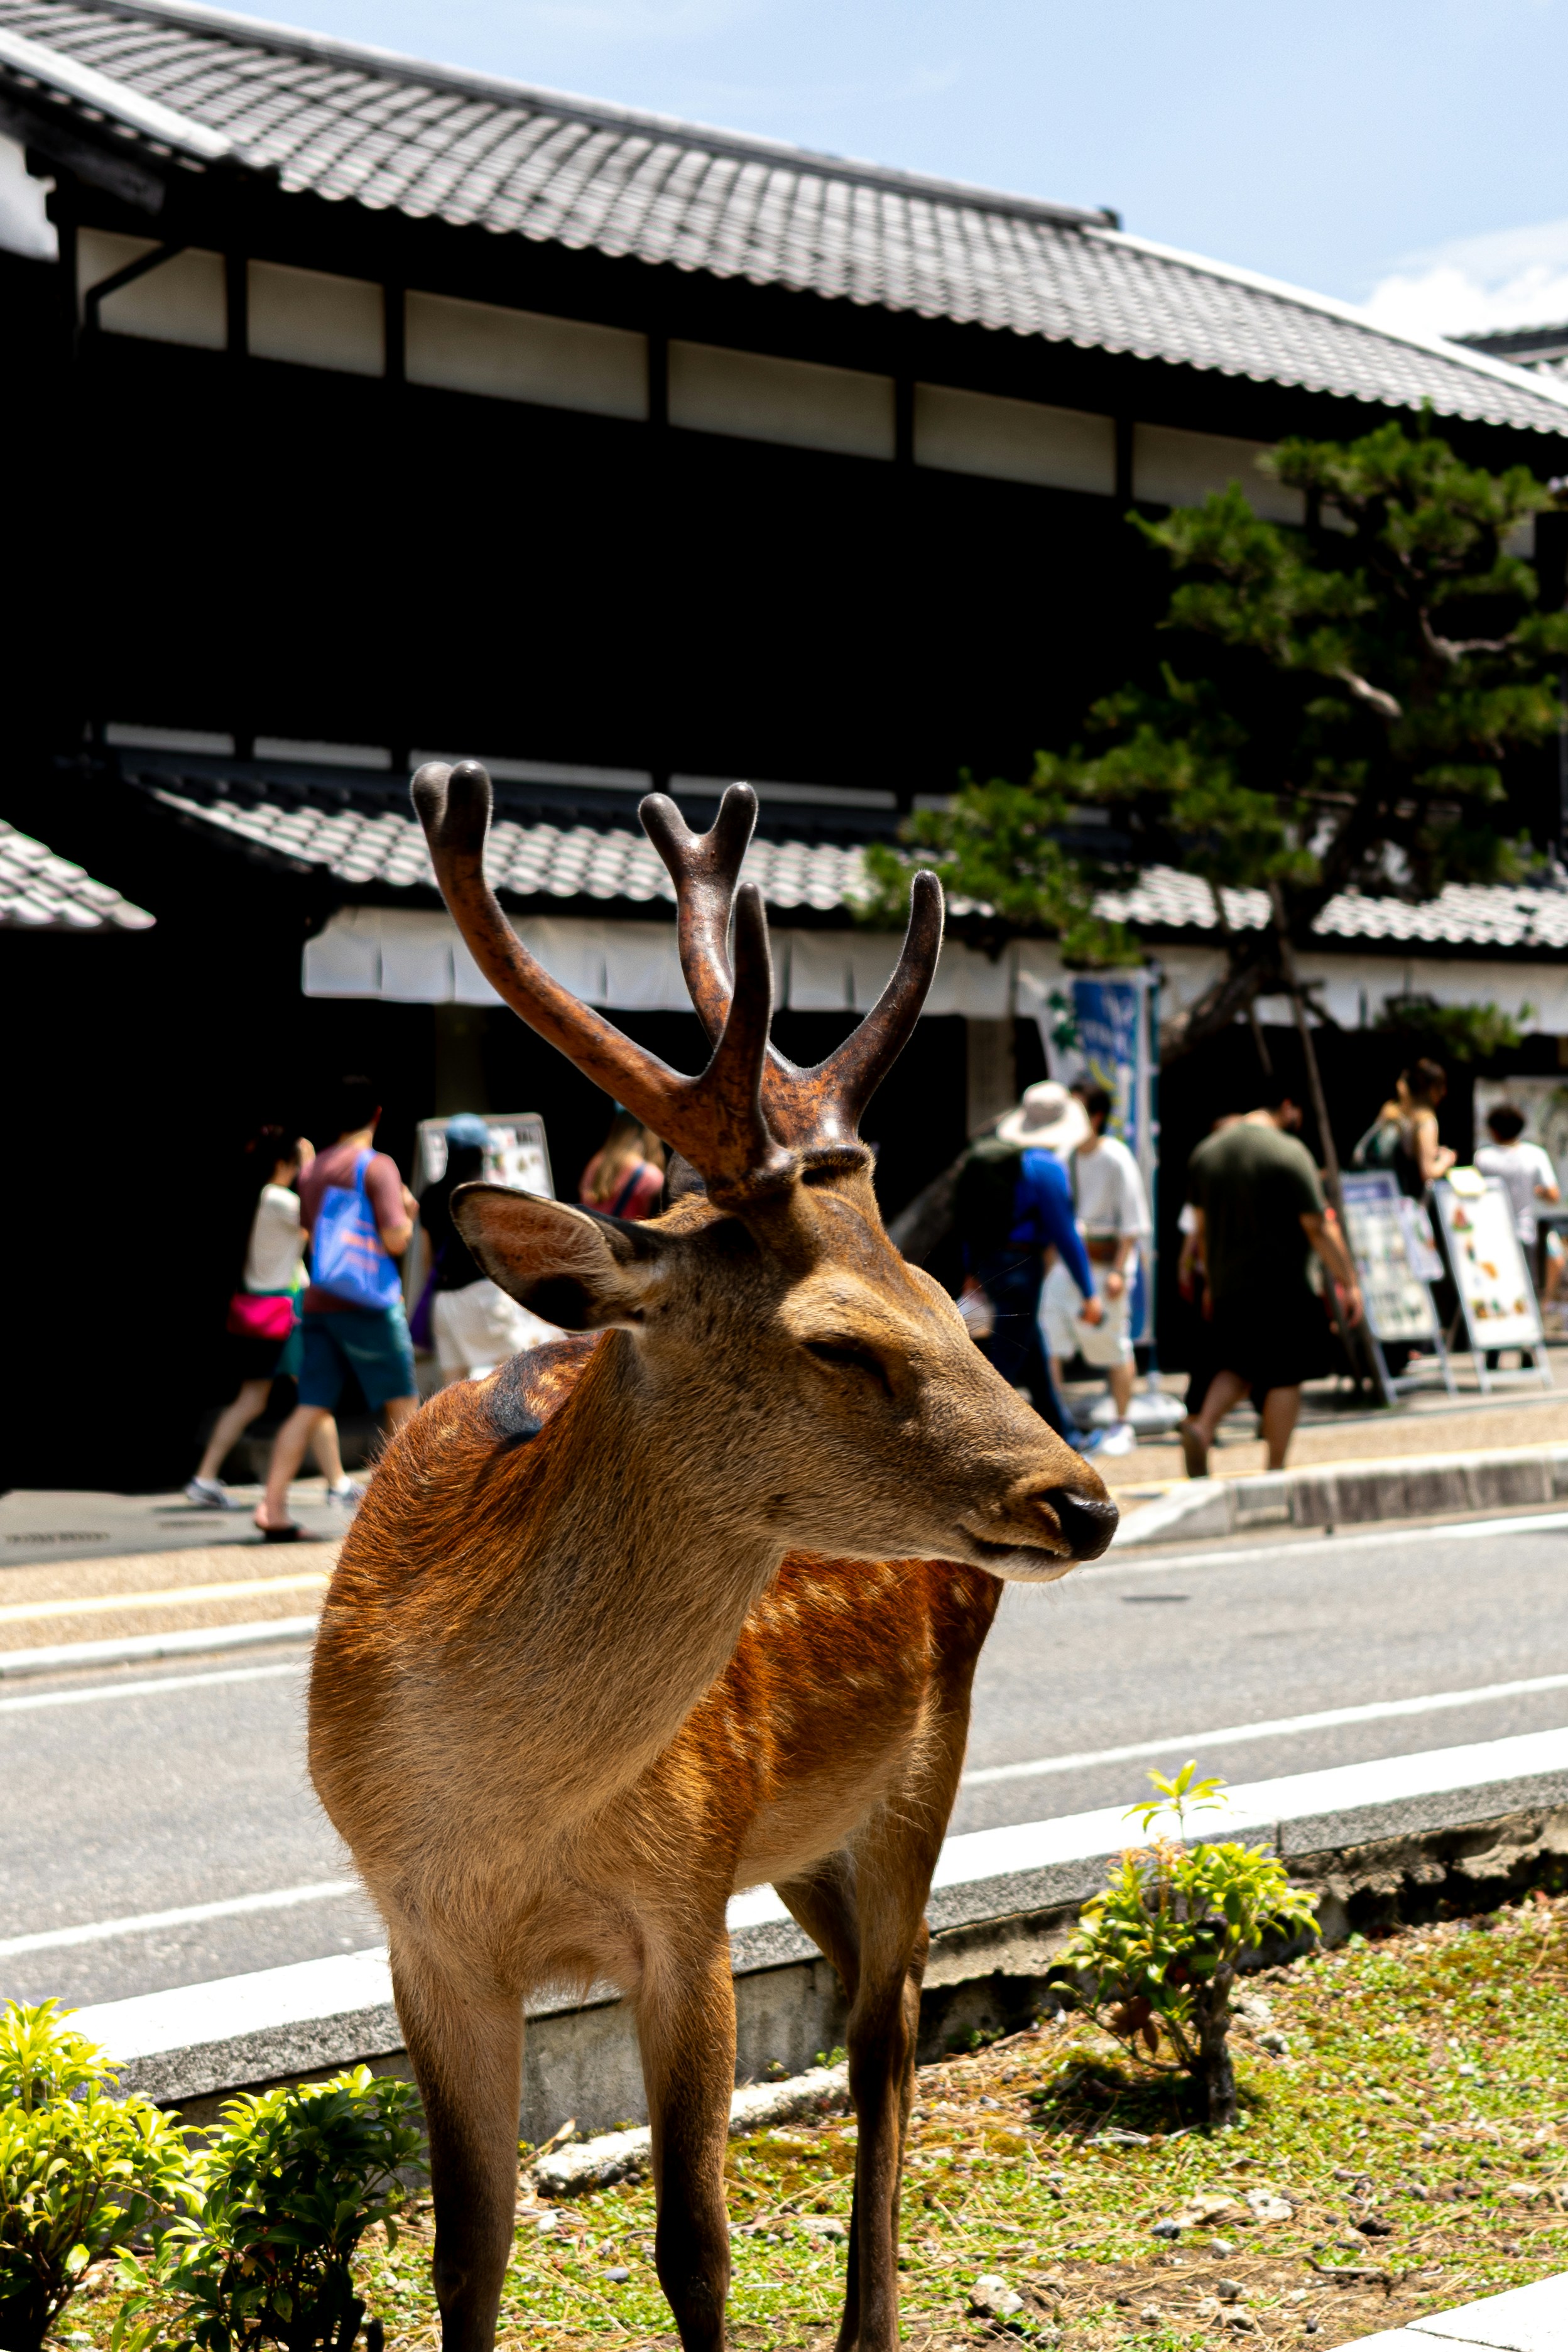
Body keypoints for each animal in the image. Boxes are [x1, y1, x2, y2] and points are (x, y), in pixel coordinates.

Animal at [307, 760, 1117, 2352]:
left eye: (943, 1295)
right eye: (840, 1339)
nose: (1087, 1499)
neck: (508, 1810)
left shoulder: (683, 1904)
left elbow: (695, 2243)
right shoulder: (421, 1936)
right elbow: (466, 2248)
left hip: (923, 1760)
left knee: (889, 2023)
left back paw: (870, 2320)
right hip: (799, 1834)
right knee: (870, 1989)